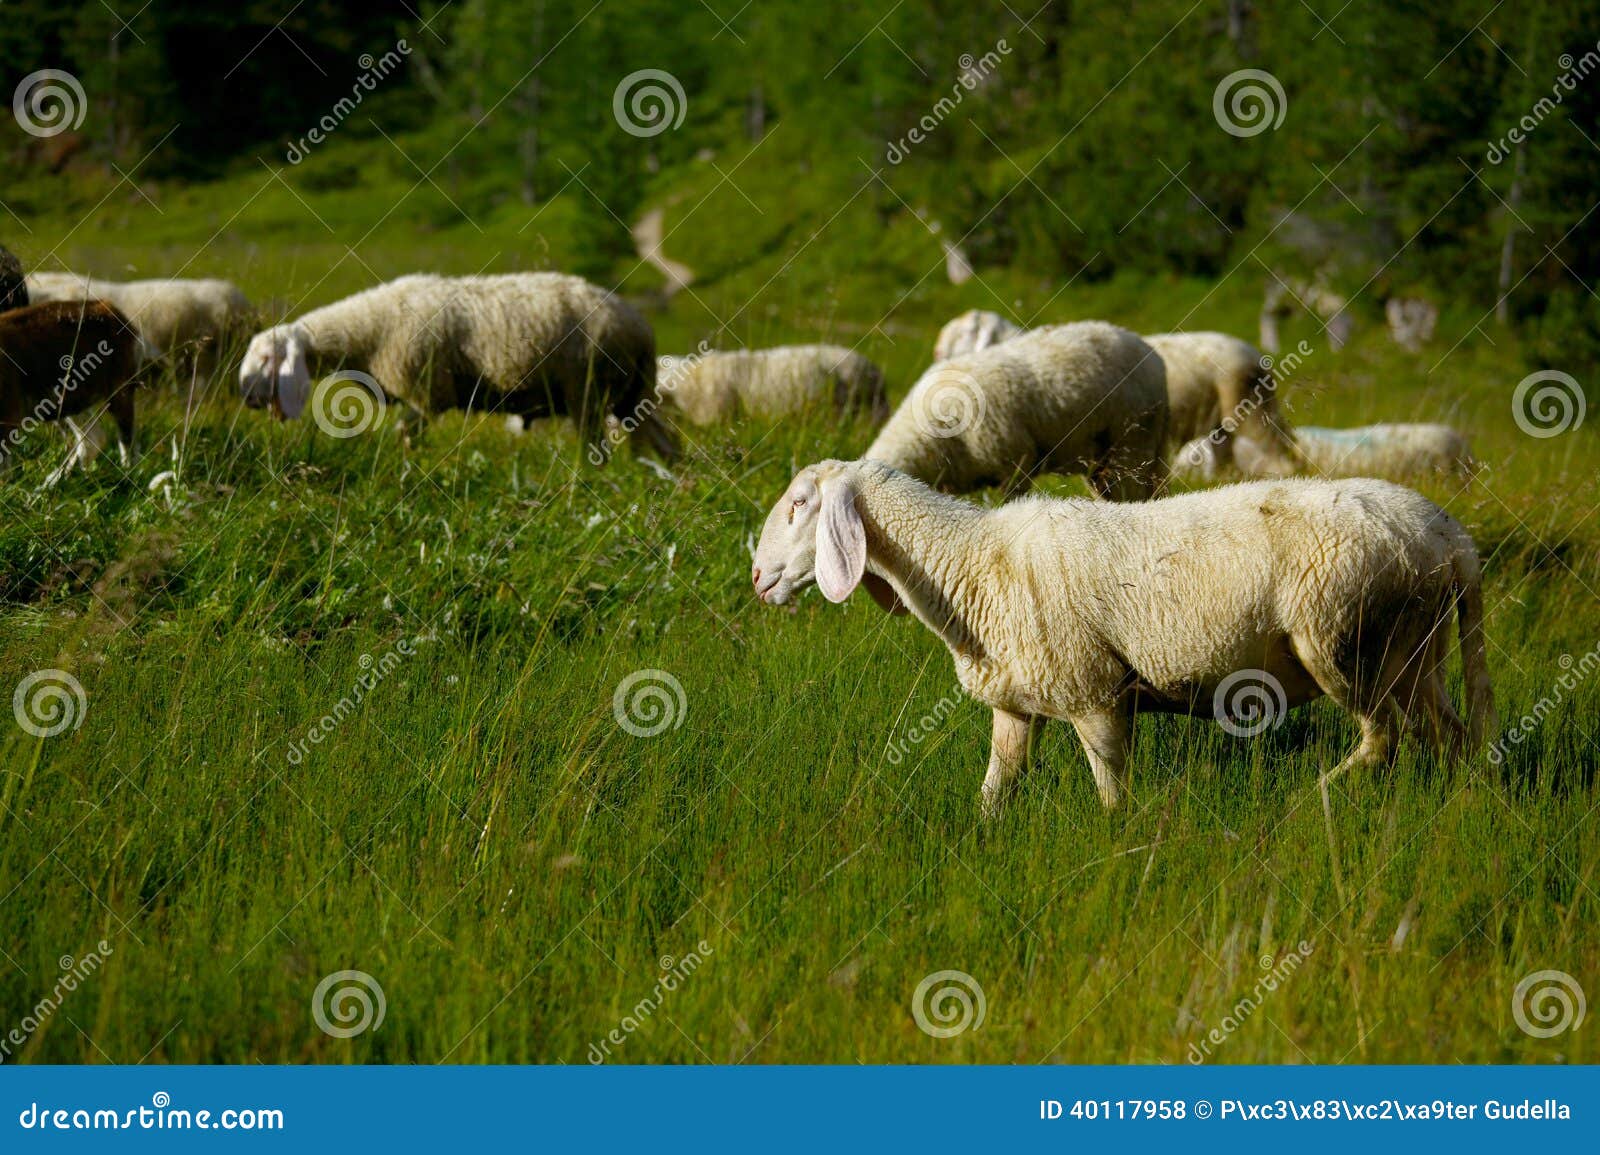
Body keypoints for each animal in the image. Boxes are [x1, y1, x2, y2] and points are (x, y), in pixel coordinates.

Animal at [0, 300, 147, 486]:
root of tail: (110, 309)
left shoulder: (8, 412)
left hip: (120, 389)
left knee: (127, 439)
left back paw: (128, 476)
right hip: (70, 402)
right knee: (92, 439)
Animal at [238, 272, 675, 458]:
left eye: (267, 358)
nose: (247, 399)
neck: (370, 330)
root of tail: (641, 328)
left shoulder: (427, 393)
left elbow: (405, 435)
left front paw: (410, 467)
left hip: (587, 390)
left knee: (597, 449)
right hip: (632, 393)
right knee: (664, 442)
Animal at [752, 459, 1495, 813]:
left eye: (800, 505)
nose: (757, 577)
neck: (969, 563)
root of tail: (1452, 541)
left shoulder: (1096, 697)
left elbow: (1113, 798)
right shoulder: (1015, 705)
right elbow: (997, 790)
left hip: (1341, 636)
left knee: (1383, 735)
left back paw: (1311, 802)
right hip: (1415, 648)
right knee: (1448, 734)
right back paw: (1463, 804)